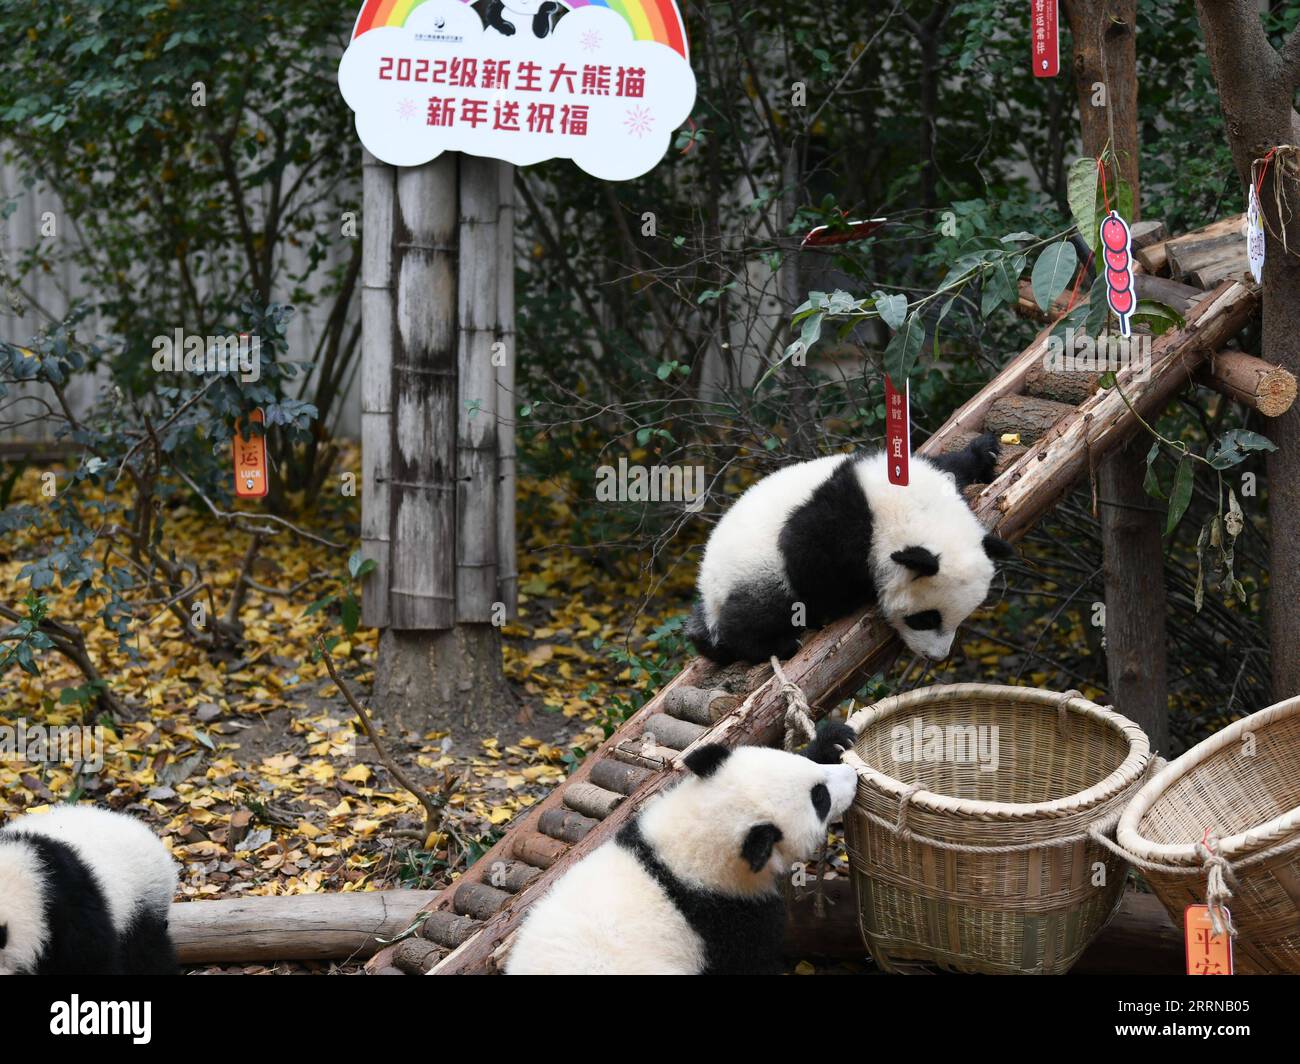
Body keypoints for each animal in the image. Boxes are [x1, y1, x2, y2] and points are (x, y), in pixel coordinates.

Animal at [504, 723, 859, 975]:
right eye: (820, 799)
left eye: (803, 767)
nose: (852, 775)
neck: (676, 862)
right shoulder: (725, 922)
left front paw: (832, 740)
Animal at [686, 432, 1014, 665]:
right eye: (925, 618)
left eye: (963, 616)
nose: (935, 657)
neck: (911, 508)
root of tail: (706, 584)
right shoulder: (842, 518)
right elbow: (806, 556)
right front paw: (848, 600)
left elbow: (952, 467)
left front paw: (985, 450)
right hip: (753, 571)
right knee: (757, 612)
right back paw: (774, 644)